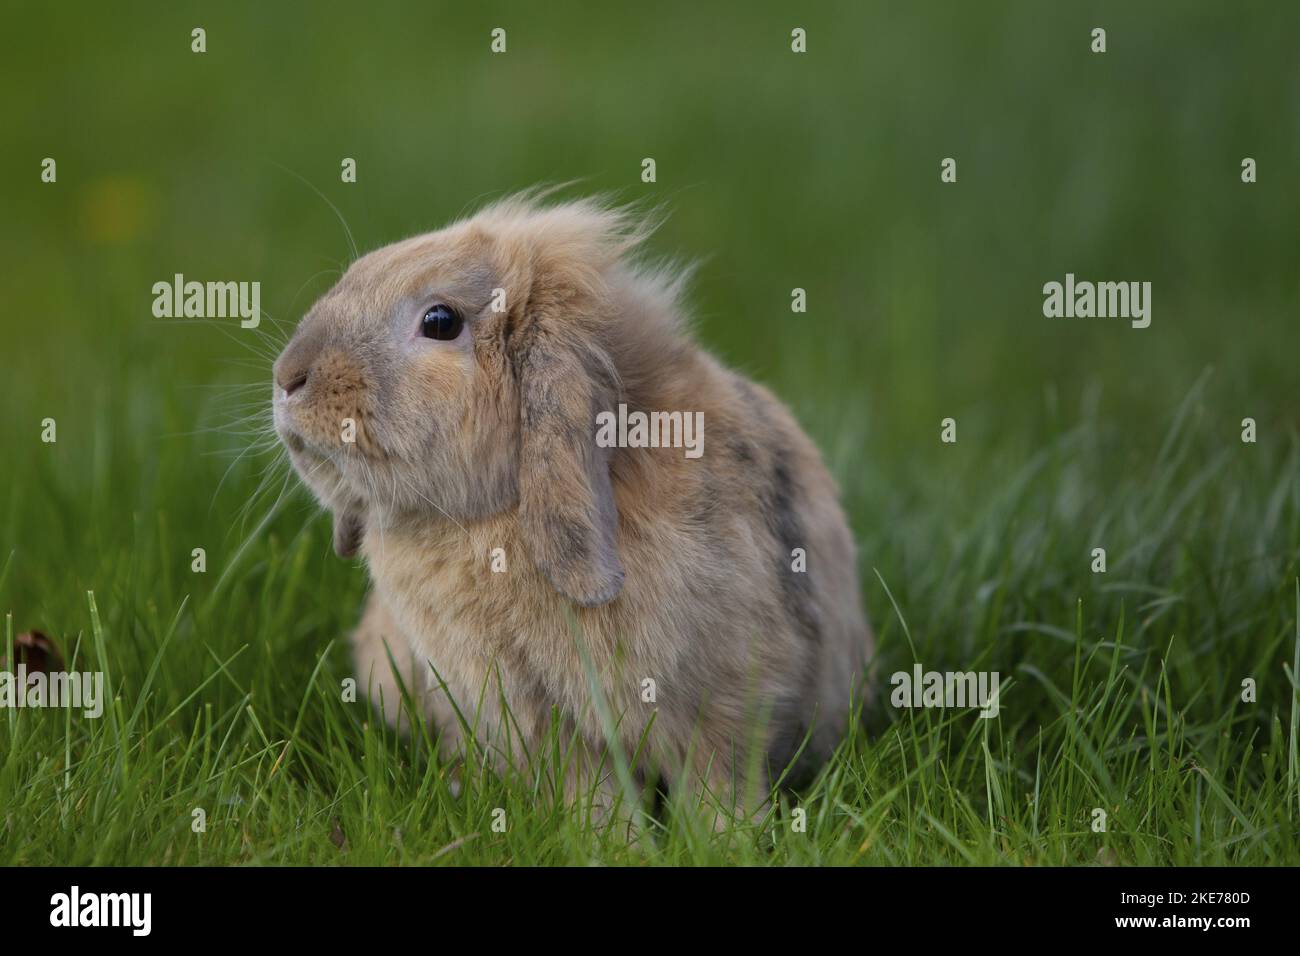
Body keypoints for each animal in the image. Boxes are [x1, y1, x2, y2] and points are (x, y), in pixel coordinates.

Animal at [271, 191, 872, 822]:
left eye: (440, 322)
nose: (288, 377)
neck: (493, 522)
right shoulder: (543, 725)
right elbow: (592, 793)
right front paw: (611, 838)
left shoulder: (728, 701)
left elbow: (720, 785)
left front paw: (726, 837)